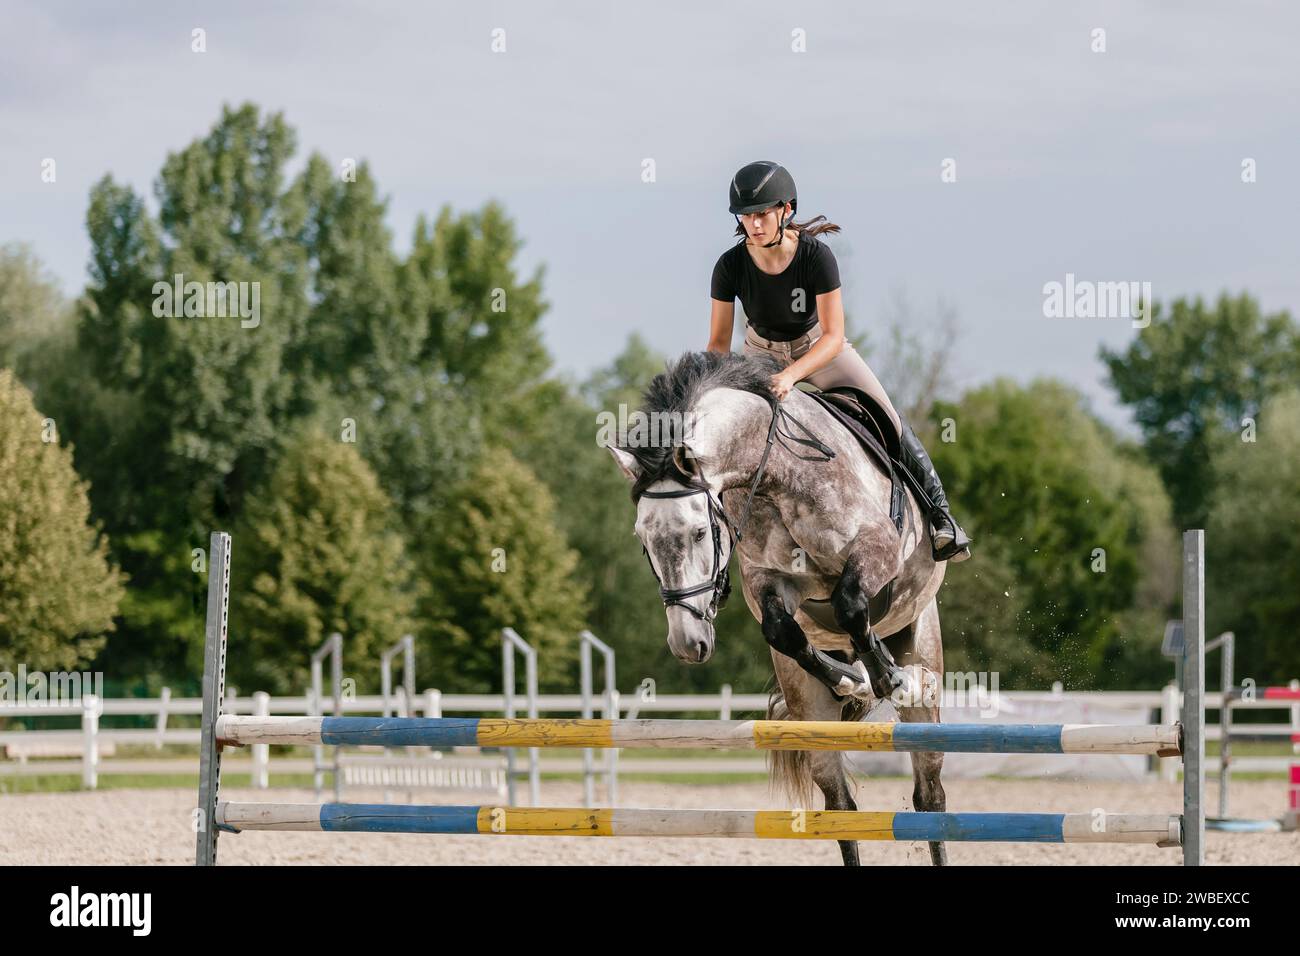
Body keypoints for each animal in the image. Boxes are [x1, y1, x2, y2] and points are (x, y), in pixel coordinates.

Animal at [606, 350, 949, 866]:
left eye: (700, 533)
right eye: (643, 541)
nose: (687, 644)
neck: (774, 473)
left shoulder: (877, 549)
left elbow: (850, 604)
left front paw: (887, 677)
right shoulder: (772, 581)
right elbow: (780, 628)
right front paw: (849, 679)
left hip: (920, 640)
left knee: (929, 795)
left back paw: (899, 675)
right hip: (812, 715)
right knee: (839, 805)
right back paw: (850, 676)